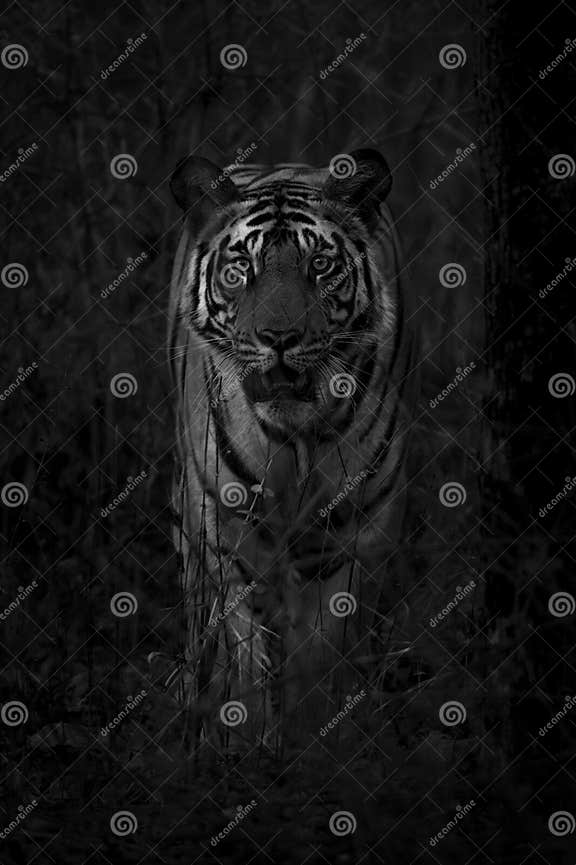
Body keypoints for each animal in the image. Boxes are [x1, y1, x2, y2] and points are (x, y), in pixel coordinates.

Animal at [167, 149, 418, 747]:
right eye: (240, 270)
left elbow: (323, 646)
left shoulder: (357, 530)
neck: (298, 437)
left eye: (320, 266)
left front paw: (317, 742)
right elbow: (248, 645)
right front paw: (250, 739)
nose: (279, 338)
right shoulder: (228, 528)